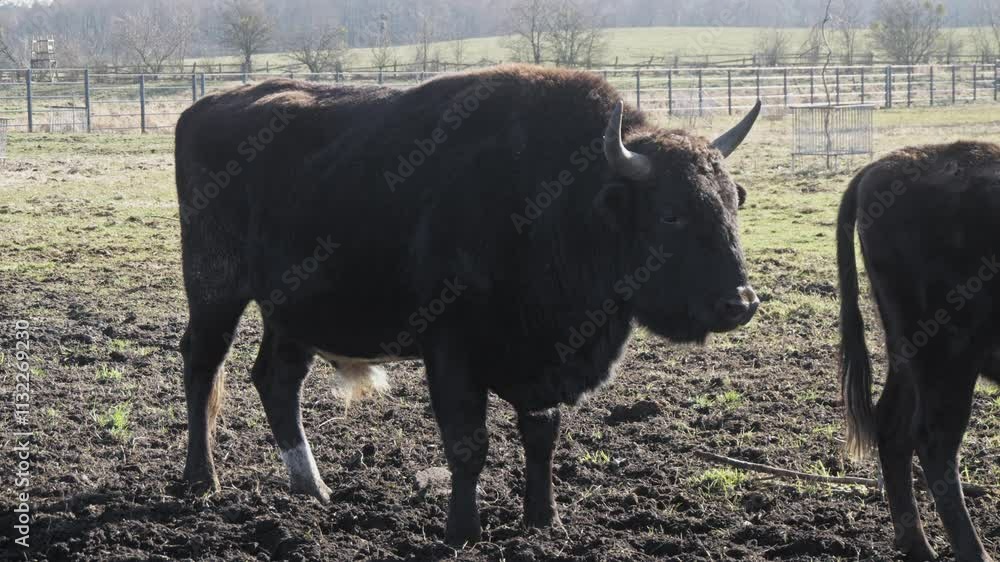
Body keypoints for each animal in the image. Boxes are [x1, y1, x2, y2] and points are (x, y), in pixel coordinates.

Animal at [175, 65, 760, 545]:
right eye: (671, 213)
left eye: (733, 202)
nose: (741, 303)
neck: (558, 198)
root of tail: (204, 108)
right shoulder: (452, 354)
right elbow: (468, 444)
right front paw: (461, 531)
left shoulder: (542, 358)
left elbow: (541, 436)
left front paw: (545, 520)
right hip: (216, 294)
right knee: (203, 365)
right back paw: (202, 479)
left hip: (291, 314)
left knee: (277, 379)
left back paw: (312, 487)